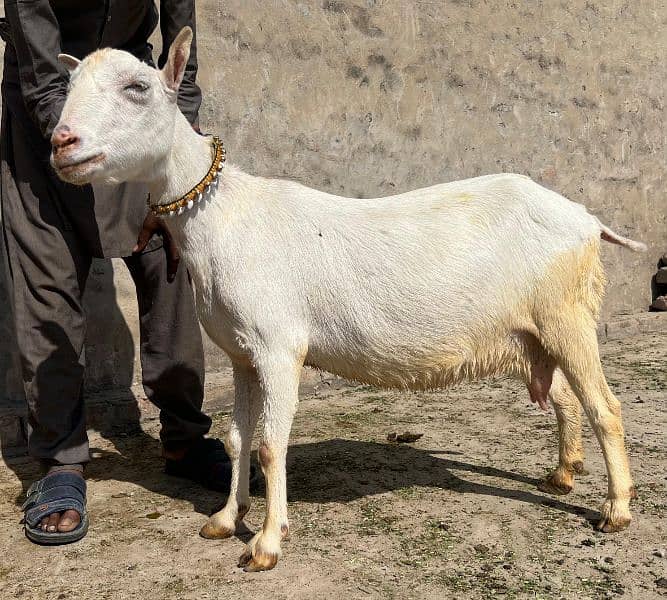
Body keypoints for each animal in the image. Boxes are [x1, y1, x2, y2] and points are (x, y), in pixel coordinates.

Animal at [51, 28, 645, 572]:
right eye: (68, 86)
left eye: (138, 87)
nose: (61, 143)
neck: (223, 216)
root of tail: (586, 219)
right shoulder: (242, 355)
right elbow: (240, 437)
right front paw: (224, 518)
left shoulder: (278, 347)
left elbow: (270, 444)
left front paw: (266, 543)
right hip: (534, 329)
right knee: (567, 398)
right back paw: (563, 474)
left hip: (567, 312)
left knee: (605, 407)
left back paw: (616, 510)